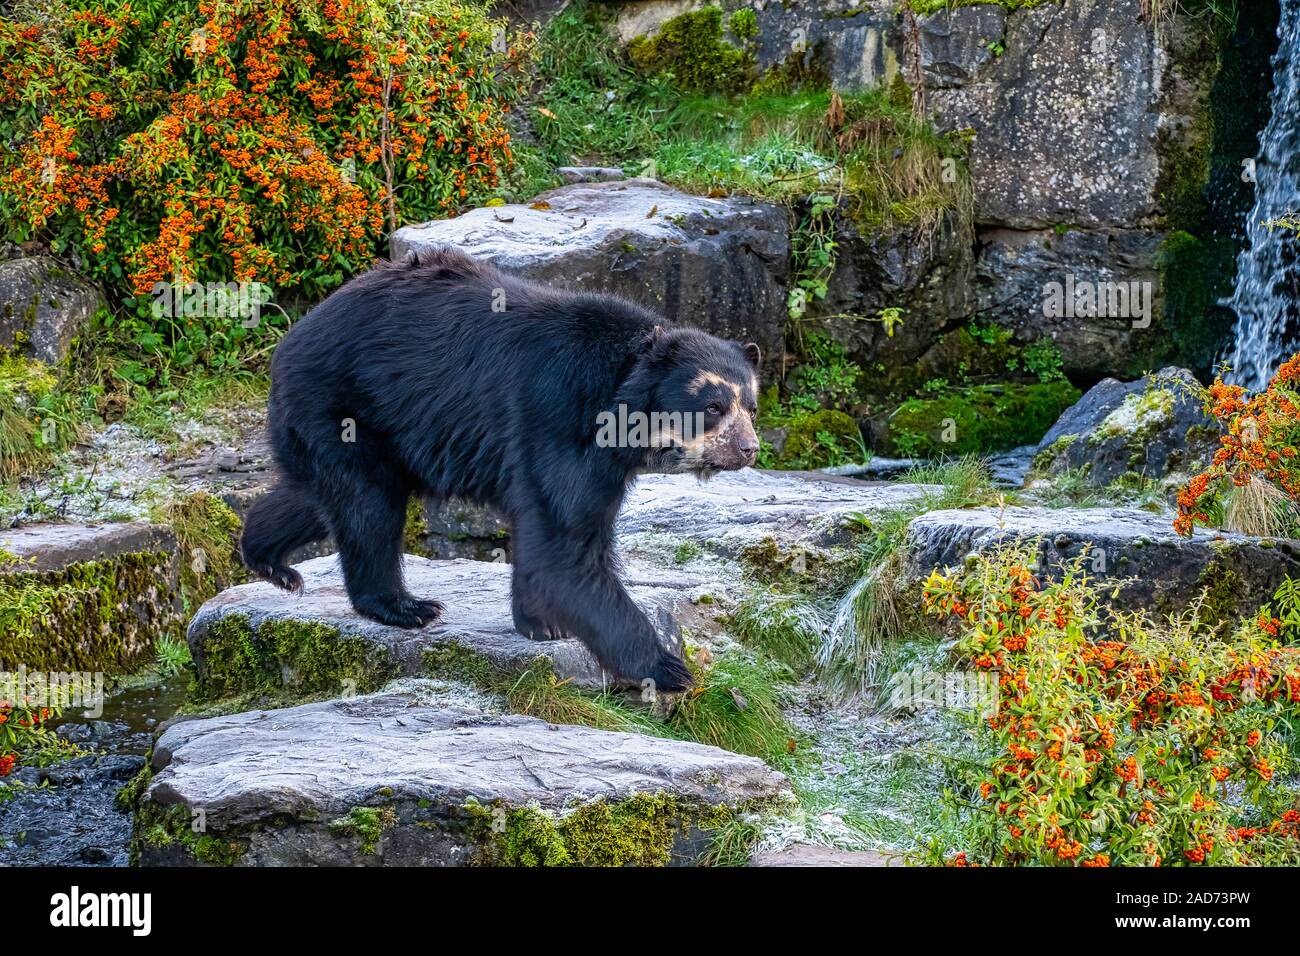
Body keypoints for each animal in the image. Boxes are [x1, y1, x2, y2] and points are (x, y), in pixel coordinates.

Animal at [239, 247, 762, 692]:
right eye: (713, 406)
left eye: (751, 406)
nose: (749, 449)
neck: (619, 399)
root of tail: (290, 340)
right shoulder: (556, 414)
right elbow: (566, 546)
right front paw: (669, 667)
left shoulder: (602, 458)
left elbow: (552, 534)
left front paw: (542, 625)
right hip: (342, 405)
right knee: (367, 507)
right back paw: (406, 607)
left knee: (320, 496)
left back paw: (269, 559)